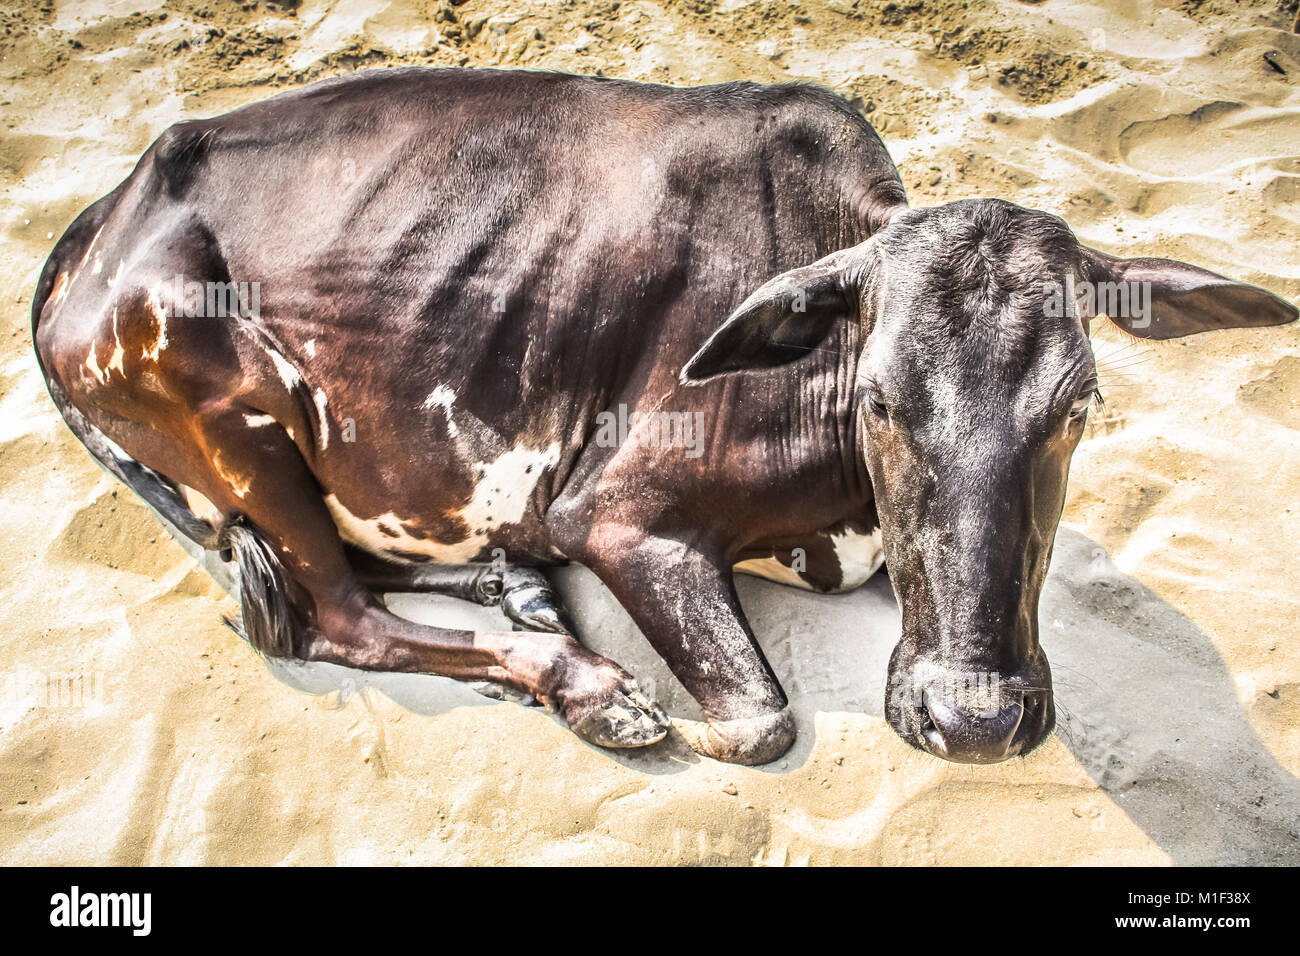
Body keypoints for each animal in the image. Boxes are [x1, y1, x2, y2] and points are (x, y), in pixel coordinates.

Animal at [32, 67, 1297, 766]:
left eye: (1078, 405)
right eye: (880, 398)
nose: (973, 717)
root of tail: (118, 197)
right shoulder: (616, 513)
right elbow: (761, 718)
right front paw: (659, 710)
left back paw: (512, 586)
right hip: (236, 418)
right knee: (336, 614)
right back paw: (583, 681)